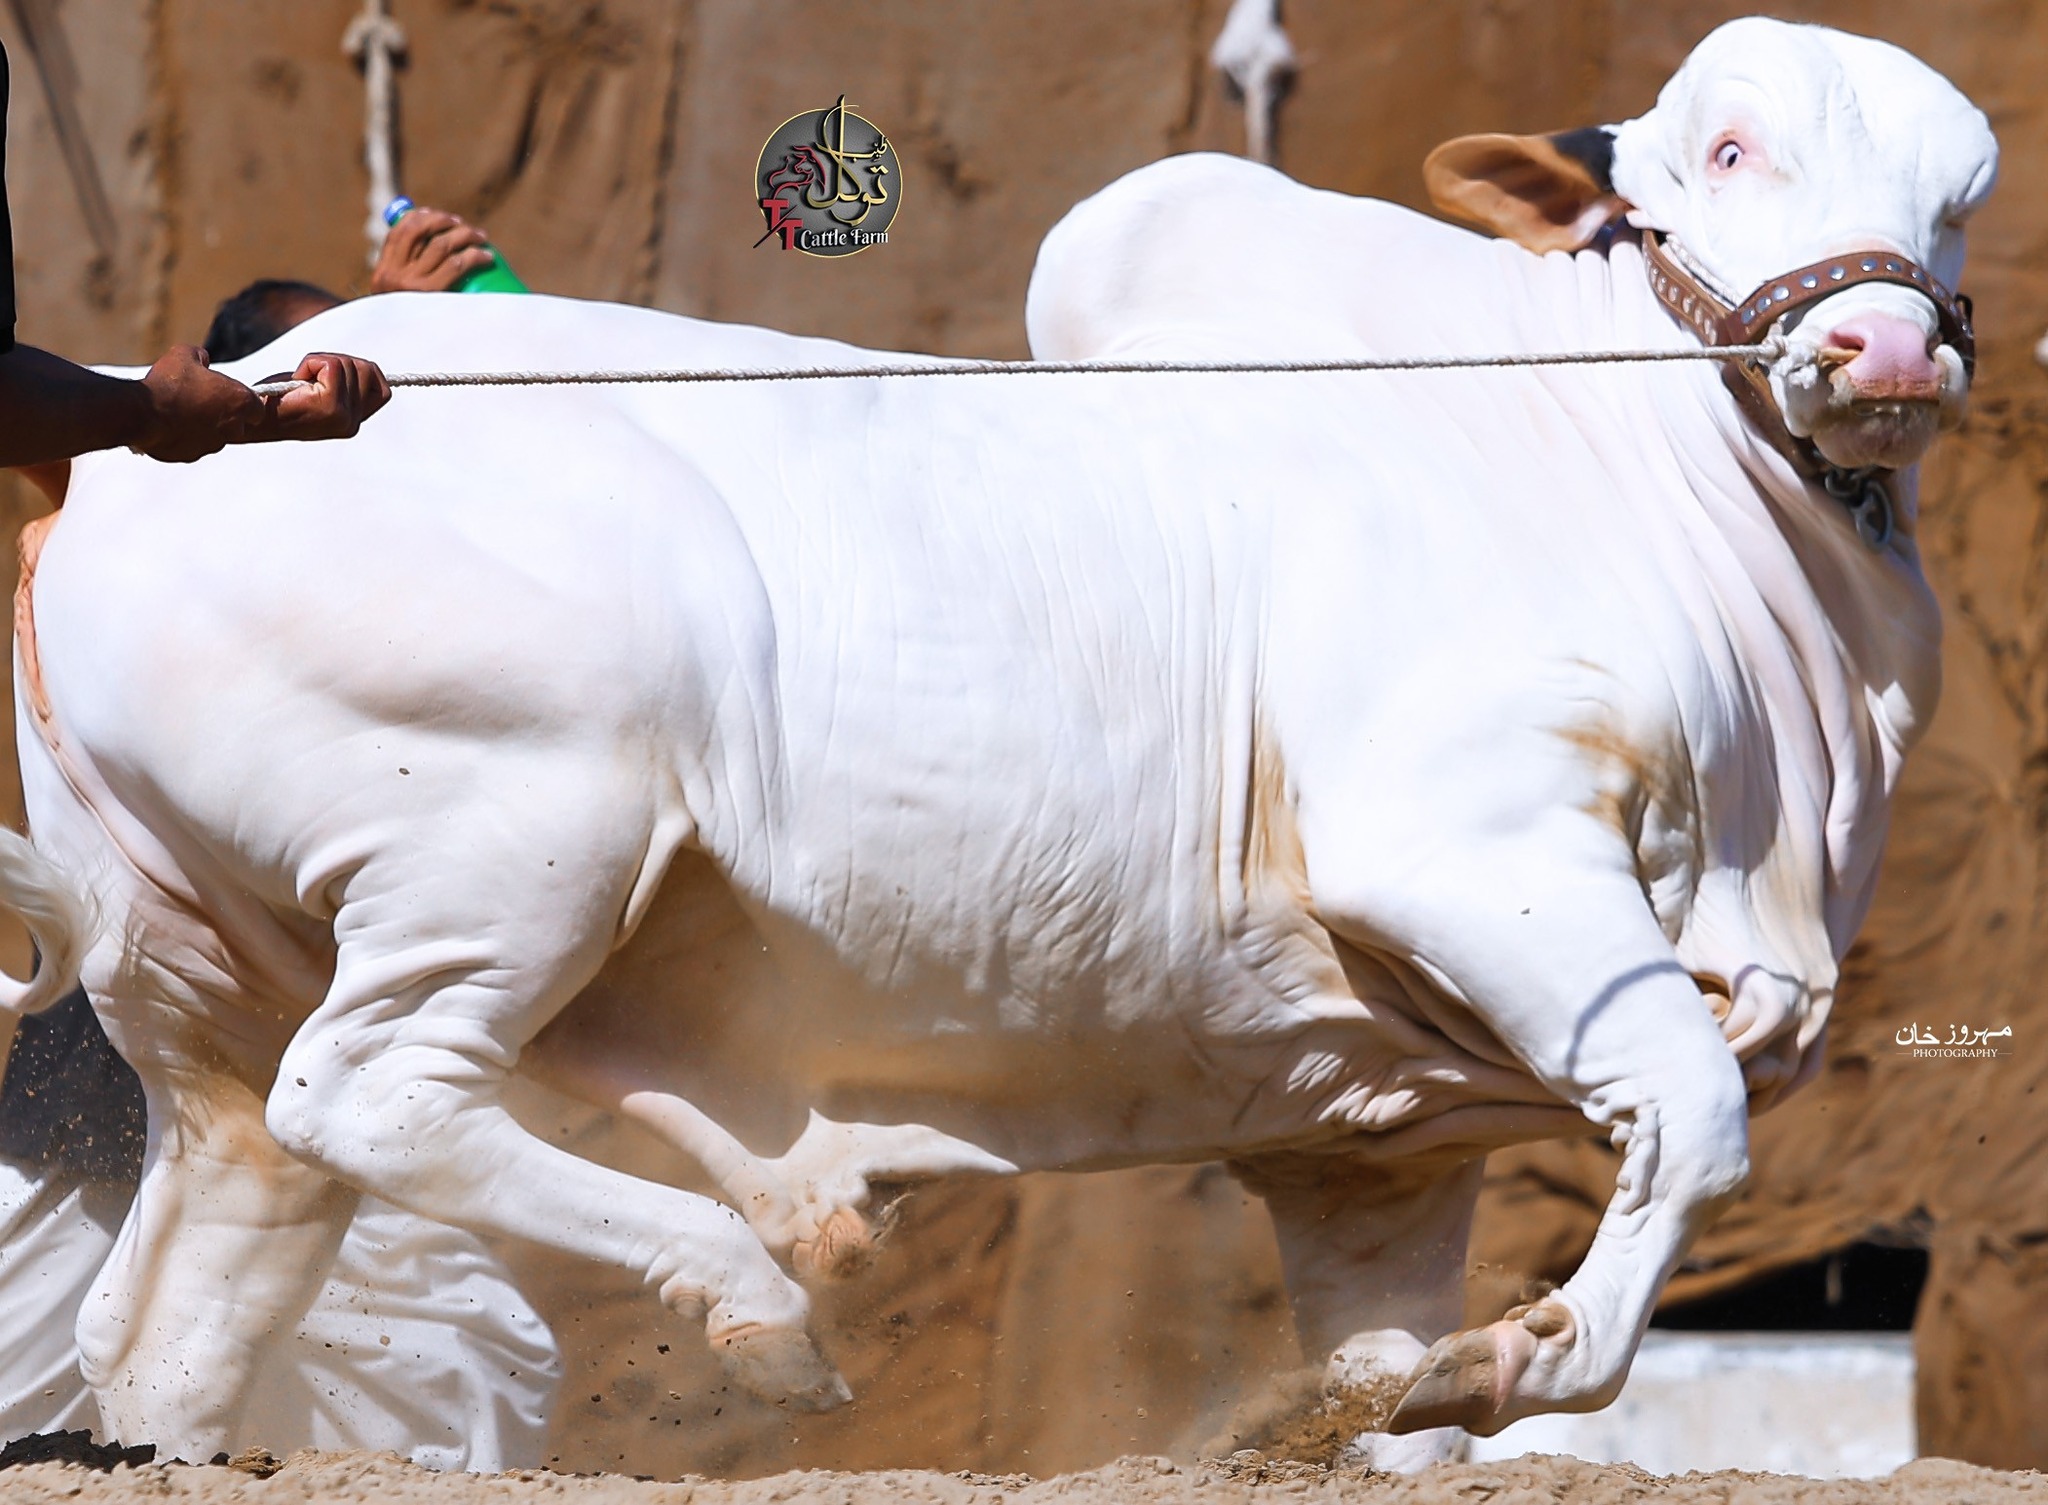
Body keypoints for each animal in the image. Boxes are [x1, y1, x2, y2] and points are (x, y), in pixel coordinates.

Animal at [0, 15, 1994, 1472]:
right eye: (1726, 152)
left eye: (1961, 196)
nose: (1891, 350)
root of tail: (136, 468)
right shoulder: (1482, 858)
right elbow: (1694, 1119)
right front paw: (1525, 1352)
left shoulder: (1383, 1155)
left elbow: (1390, 1385)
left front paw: (1417, 1389)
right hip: (506, 841)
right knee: (375, 1092)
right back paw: (758, 1304)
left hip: (209, 992)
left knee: (184, 1303)